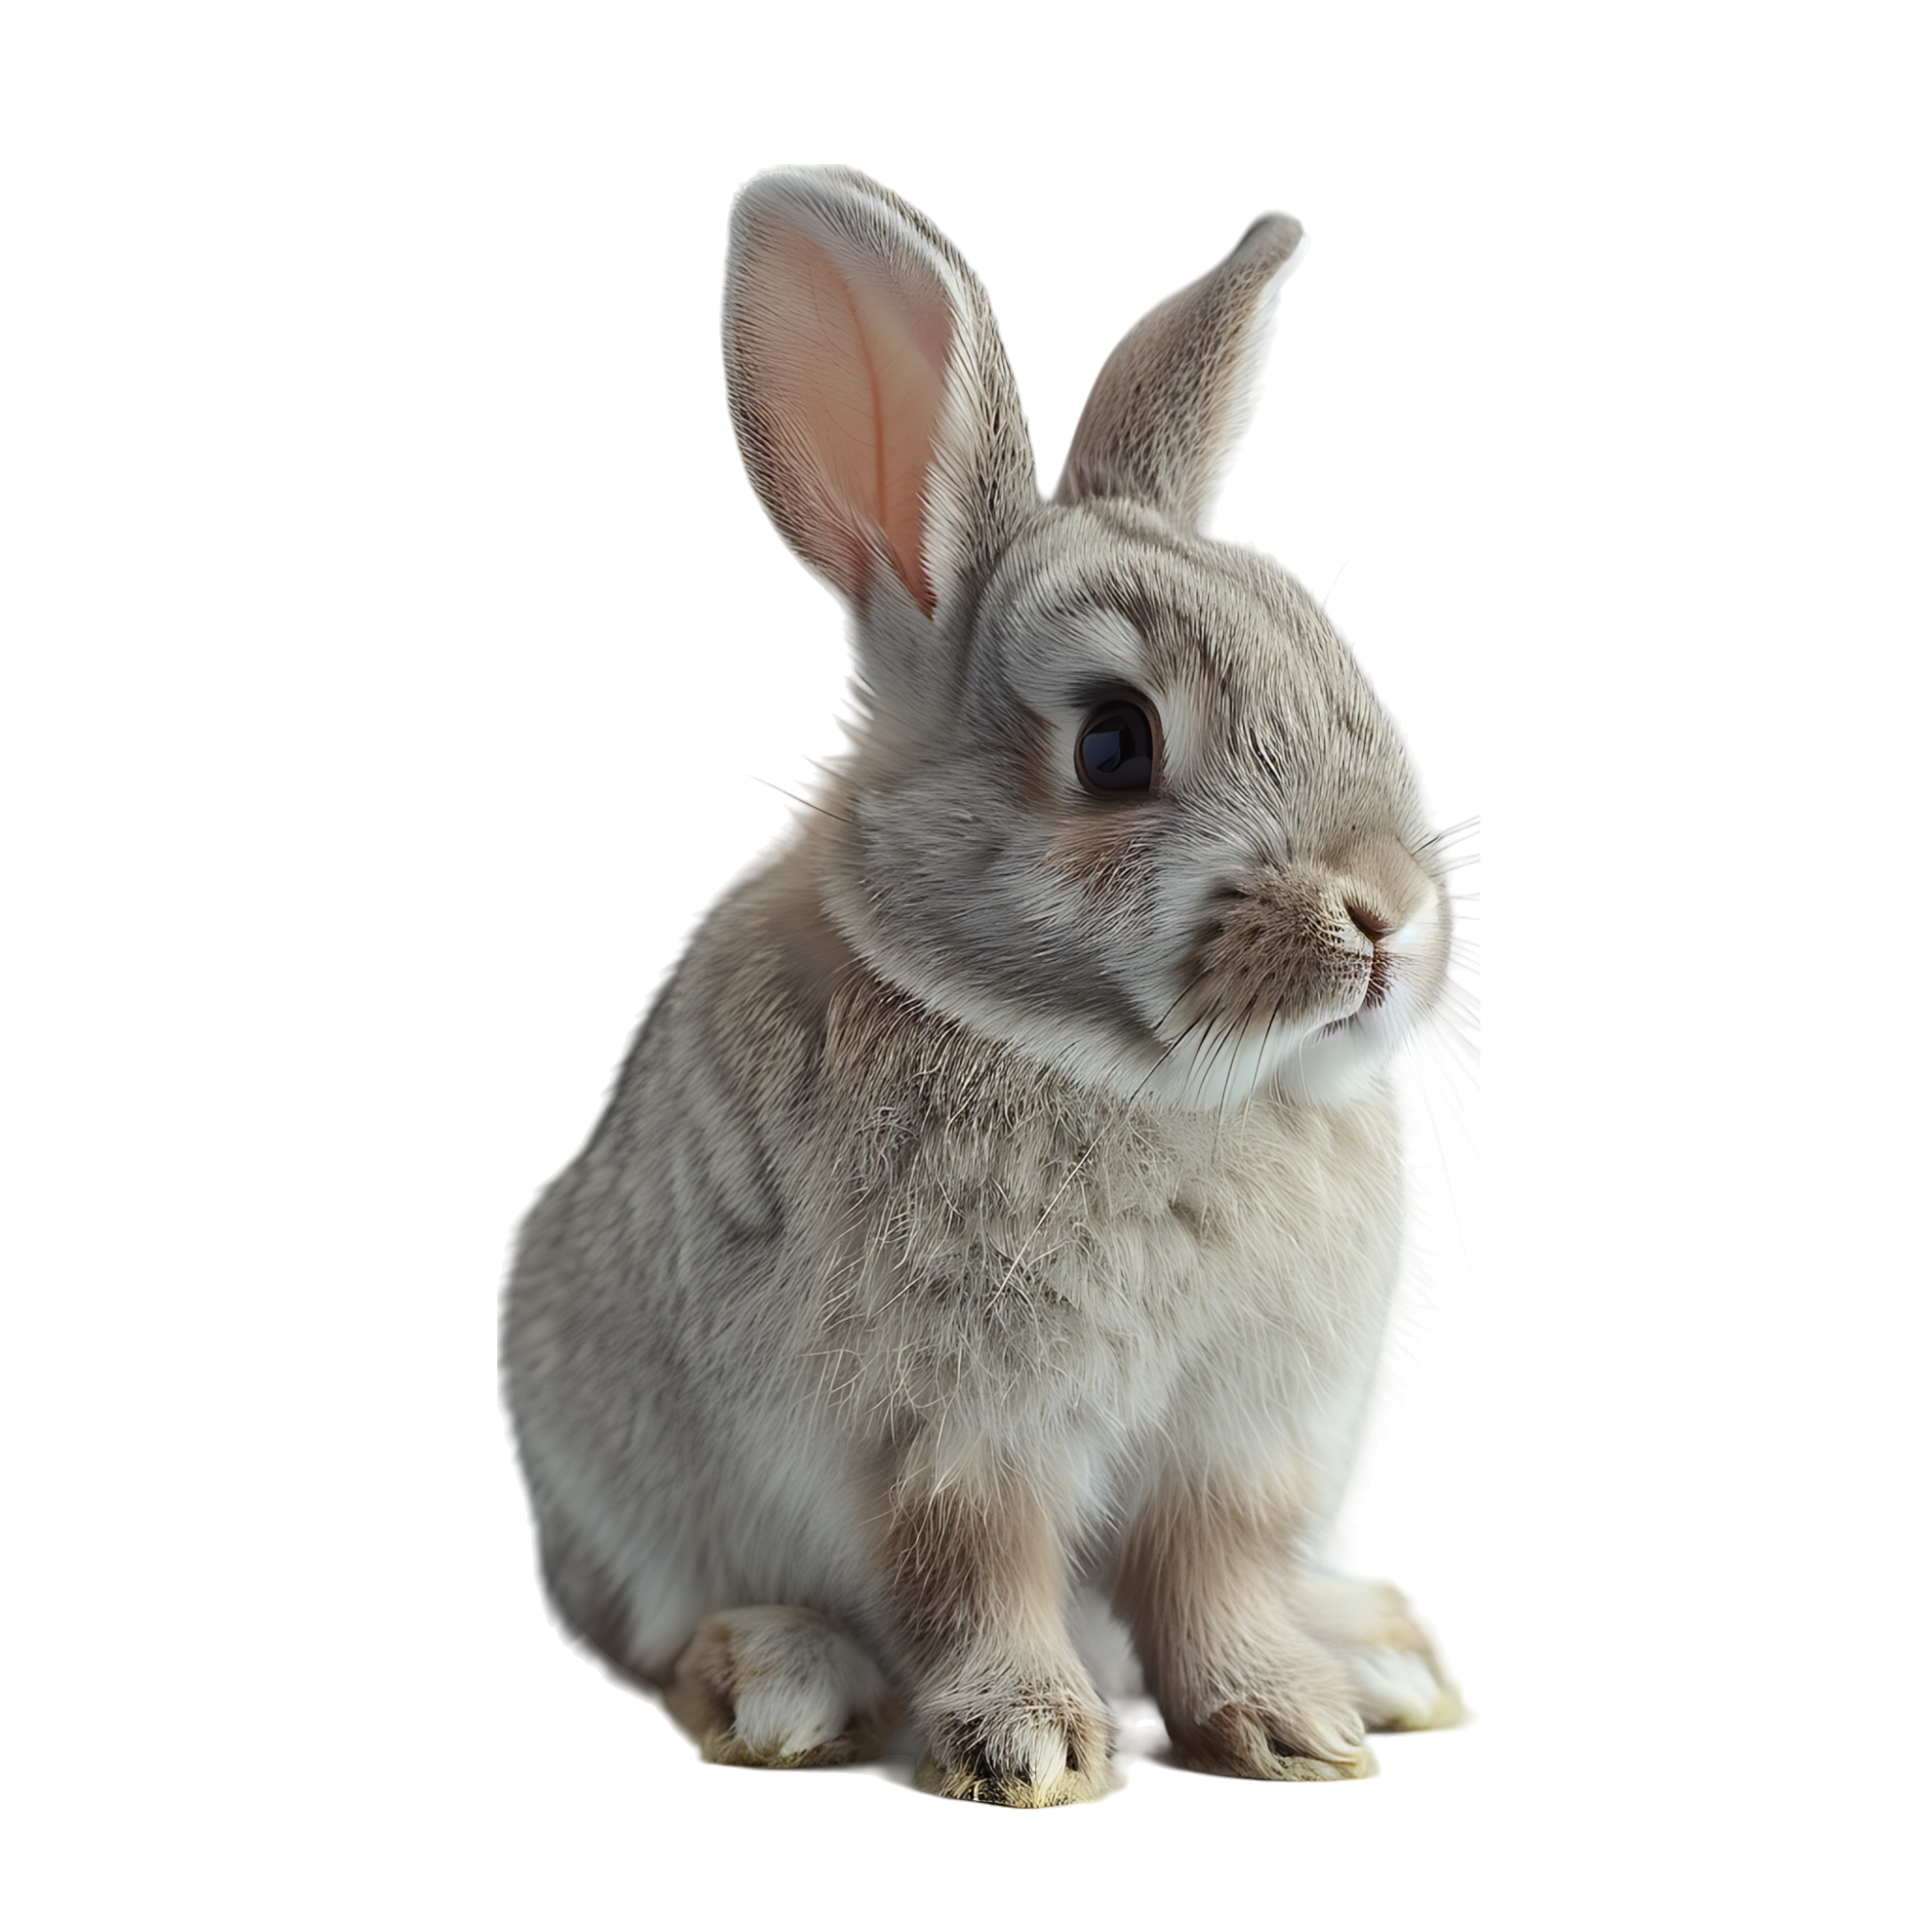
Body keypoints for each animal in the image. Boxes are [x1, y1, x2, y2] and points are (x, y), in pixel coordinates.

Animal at [497, 165, 1480, 1806]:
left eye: (1336, 671)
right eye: (1113, 745)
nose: (1387, 919)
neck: (1125, 1076)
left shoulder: (1234, 1439)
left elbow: (1214, 1575)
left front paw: (1288, 1721)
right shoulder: (944, 1428)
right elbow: (974, 1575)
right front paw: (1025, 1743)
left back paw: (1368, 1656)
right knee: (659, 1639)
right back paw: (776, 1682)